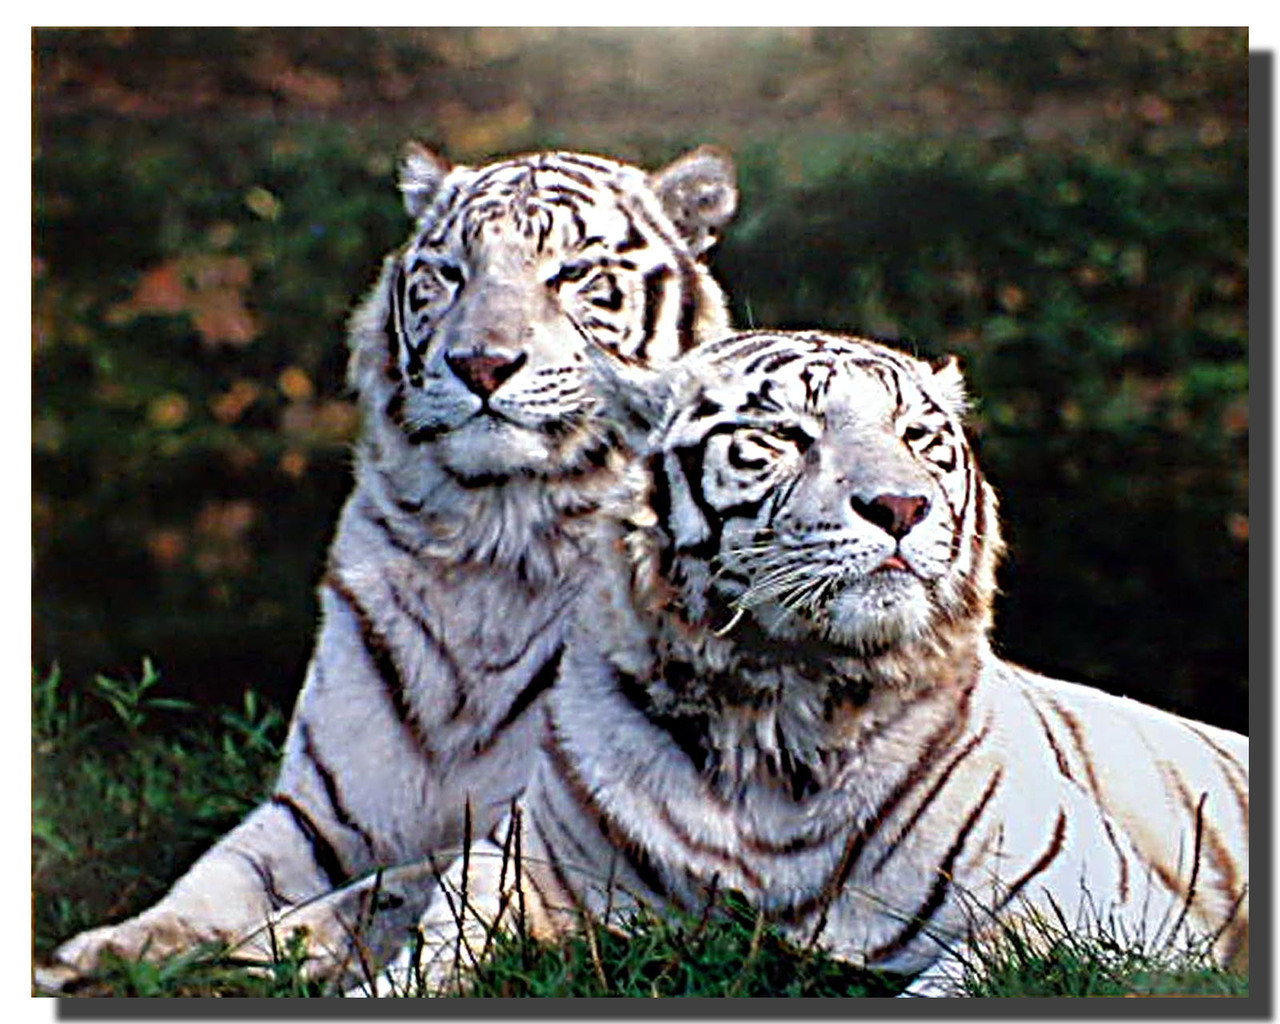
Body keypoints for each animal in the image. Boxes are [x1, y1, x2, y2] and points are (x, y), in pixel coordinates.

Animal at [39, 143, 739, 990]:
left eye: (572, 273)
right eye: (451, 273)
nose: (481, 363)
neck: (494, 540)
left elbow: (416, 885)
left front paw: (291, 945)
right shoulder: (321, 809)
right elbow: (220, 877)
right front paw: (107, 951)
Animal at [375, 329, 1248, 997]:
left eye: (919, 438)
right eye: (782, 437)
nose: (901, 506)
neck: (776, 709)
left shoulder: (1102, 909)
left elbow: (969, 974)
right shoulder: (519, 866)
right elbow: (429, 948)